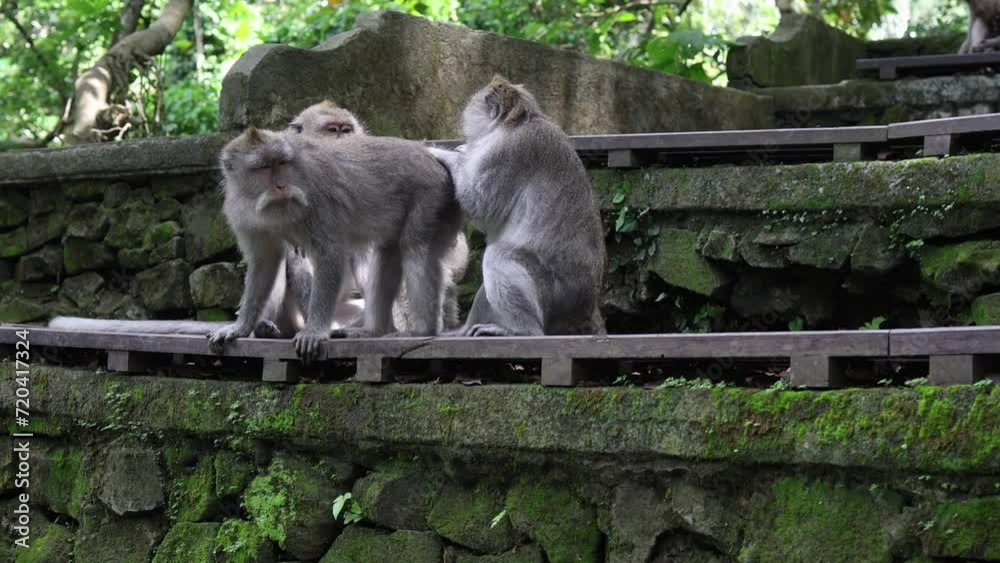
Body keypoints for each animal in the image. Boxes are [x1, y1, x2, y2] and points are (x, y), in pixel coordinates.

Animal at [208, 126, 461, 361]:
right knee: (387, 254)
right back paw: (373, 331)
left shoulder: (317, 196)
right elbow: (264, 262)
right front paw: (240, 327)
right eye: (263, 167)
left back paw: (423, 330)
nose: (281, 186)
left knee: (416, 248)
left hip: (431, 196)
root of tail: (432, 159)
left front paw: (314, 332)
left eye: (281, 163)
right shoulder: (244, 215)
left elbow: (329, 255)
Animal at [428, 76, 605, 337]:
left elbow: (481, 207)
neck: (514, 123)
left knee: (498, 256)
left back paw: (521, 331)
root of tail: (586, 309)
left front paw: (445, 154)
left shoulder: (507, 151)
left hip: (556, 296)